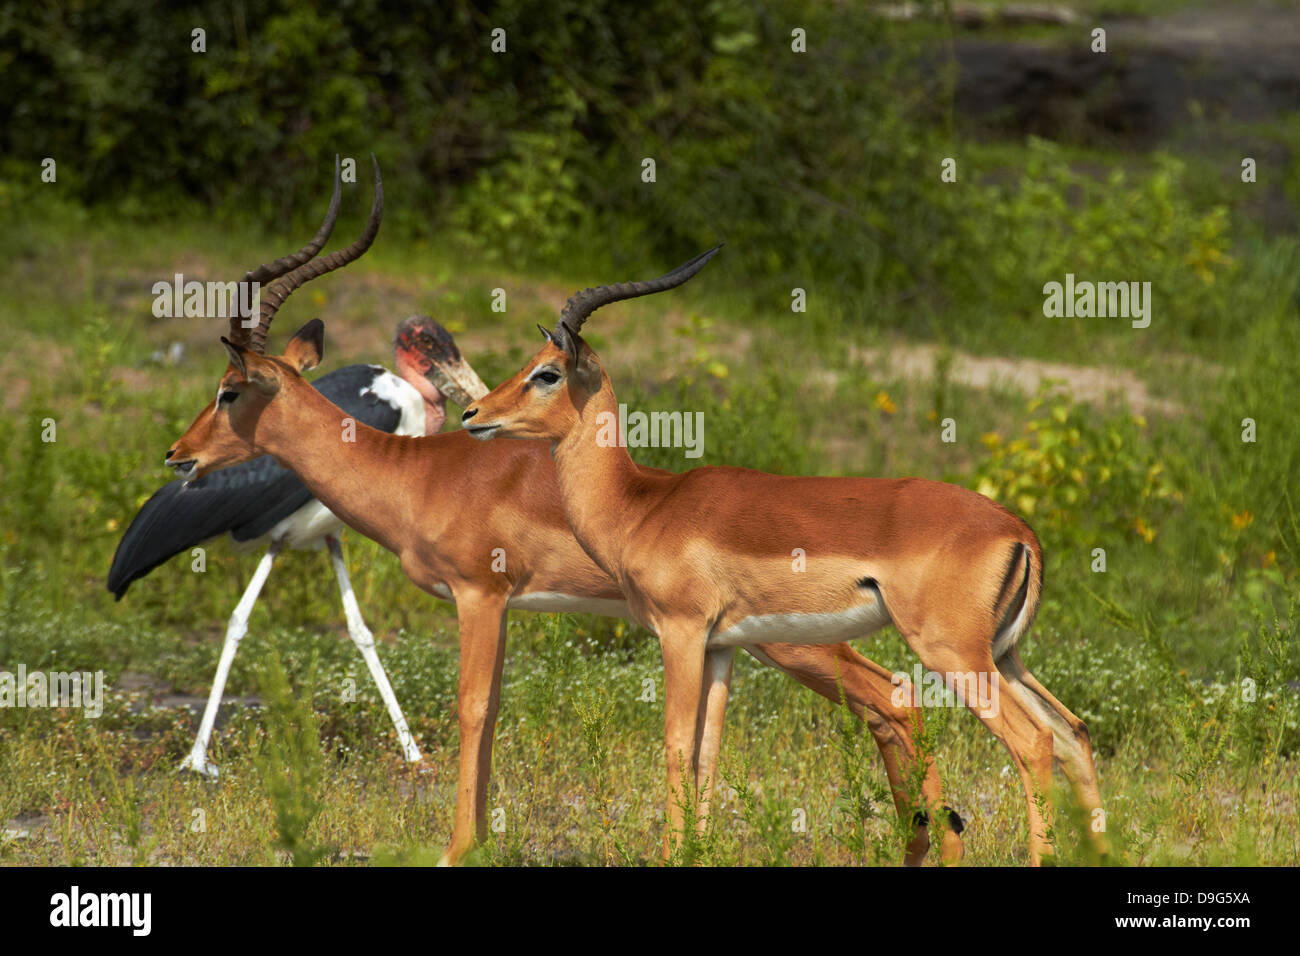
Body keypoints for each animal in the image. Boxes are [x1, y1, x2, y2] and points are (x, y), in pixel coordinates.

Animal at [164, 171, 965, 866]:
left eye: (230, 390)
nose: (177, 455)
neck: (416, 474)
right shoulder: (505, 606)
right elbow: (493, 711)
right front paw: (482, 839)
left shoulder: (478, 596)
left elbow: (472, 708)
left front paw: (456, 848)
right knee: (888, 705)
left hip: (788, 642)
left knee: (893, 699)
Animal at [460, 247, 1108, 865]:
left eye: (546, 373)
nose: (473, 415)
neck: (642, 505)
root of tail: (1018, 531)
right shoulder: (722, 646)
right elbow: (707, 754)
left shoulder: (681, 632)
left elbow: (675, 747)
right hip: (1003, 654)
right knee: (1072, 731)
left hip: (953, 653)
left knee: (1032, 743)